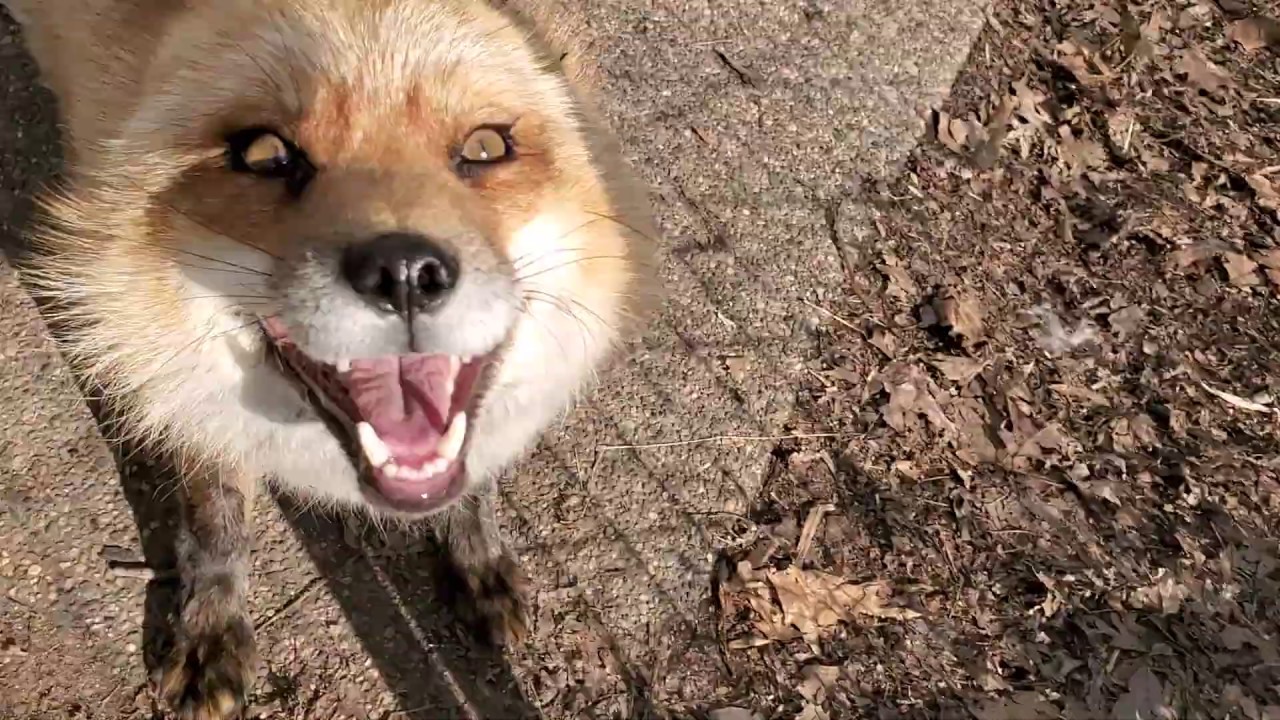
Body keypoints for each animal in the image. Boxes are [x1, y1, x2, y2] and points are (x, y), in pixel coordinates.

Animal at [2, 0, 656, 716]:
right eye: (265, 154)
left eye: (487, 147)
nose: (404, 271)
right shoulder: (164, 363)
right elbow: (214, 519)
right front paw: (209, 628)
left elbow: (474, 481)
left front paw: (476, 558)